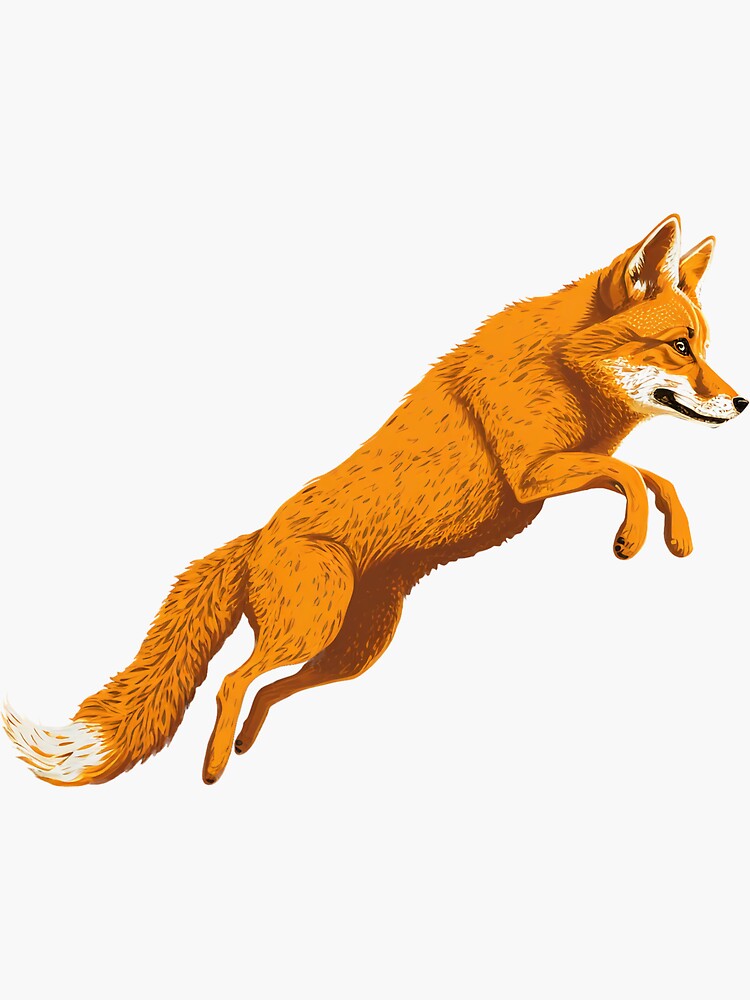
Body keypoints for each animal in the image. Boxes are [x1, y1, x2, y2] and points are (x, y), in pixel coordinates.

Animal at [3, 214, 745, 786]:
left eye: (706, 347)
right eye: (680, 347)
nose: (740, 402)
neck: (562, 369)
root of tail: (256, 539)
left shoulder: (562, 470)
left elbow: (651, 477)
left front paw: (674, 536)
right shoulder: (533, 475)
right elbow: (635, 476)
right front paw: (632, 537)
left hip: (353, 650)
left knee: (266, 689)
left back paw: (243, 744)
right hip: (312, 628)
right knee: (232, 681)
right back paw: (213, 769)